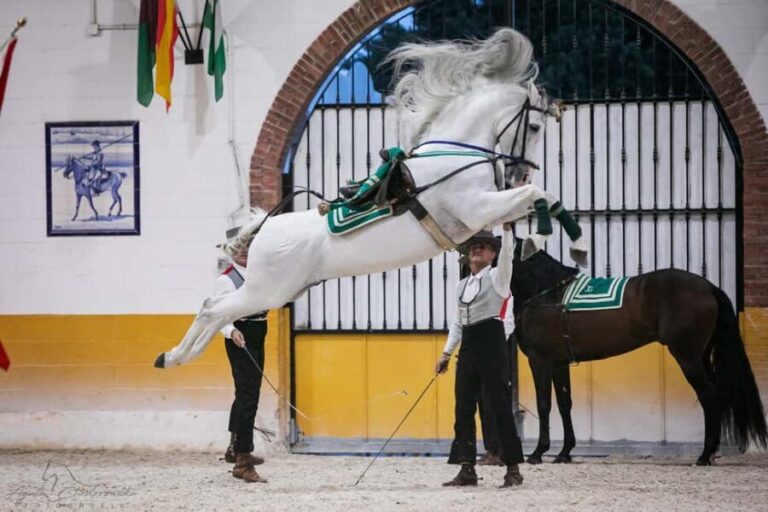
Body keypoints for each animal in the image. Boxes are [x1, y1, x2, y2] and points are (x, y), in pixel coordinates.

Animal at [154, 28, 588, 368]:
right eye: (534, 127)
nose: (521, 171)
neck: (454, 152)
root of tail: (264, 228)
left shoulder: (484, 213)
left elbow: (538, 203)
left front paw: (552, 243)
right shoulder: (475, 207)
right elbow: (540, 194)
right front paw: (555, 242)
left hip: (276, 292)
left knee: (214, 311)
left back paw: (176, 356)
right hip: (266, 291)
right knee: (212, 309)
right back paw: (175, 356)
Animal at [510, 243, 767, 466]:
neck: (546, 294)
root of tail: (709, 288)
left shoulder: (540, 361)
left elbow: (544, 405)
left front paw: (537, 453)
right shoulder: (559, 363)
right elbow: (564, 404)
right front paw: (564, 452)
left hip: (688, 358)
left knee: (709, 397)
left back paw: (705, 456)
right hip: (701, 357)